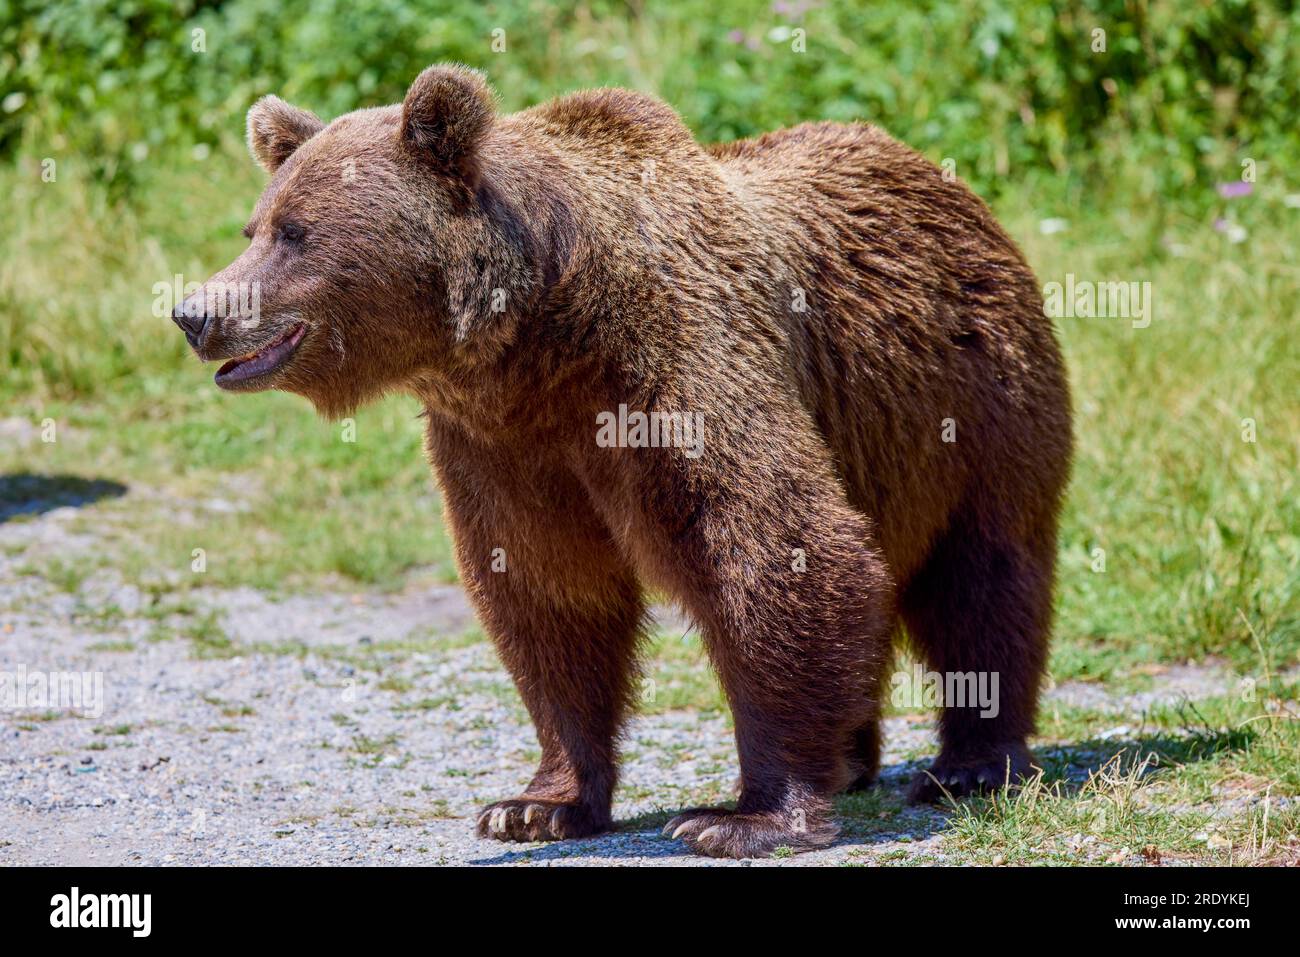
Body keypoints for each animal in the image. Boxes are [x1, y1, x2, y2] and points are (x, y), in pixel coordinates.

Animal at [173, 63, 1072, 859]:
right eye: (255, 227)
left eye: (295, 233)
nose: (196, 312)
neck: (542, 338)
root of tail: (944, 182)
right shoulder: (504, 445)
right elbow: (546, 593)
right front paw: (534, 805)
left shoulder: (676, 368)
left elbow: (774, 543)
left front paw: (743, 817)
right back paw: (853, 754)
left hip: (973, 404)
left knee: (983, 575)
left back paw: (970, 763)